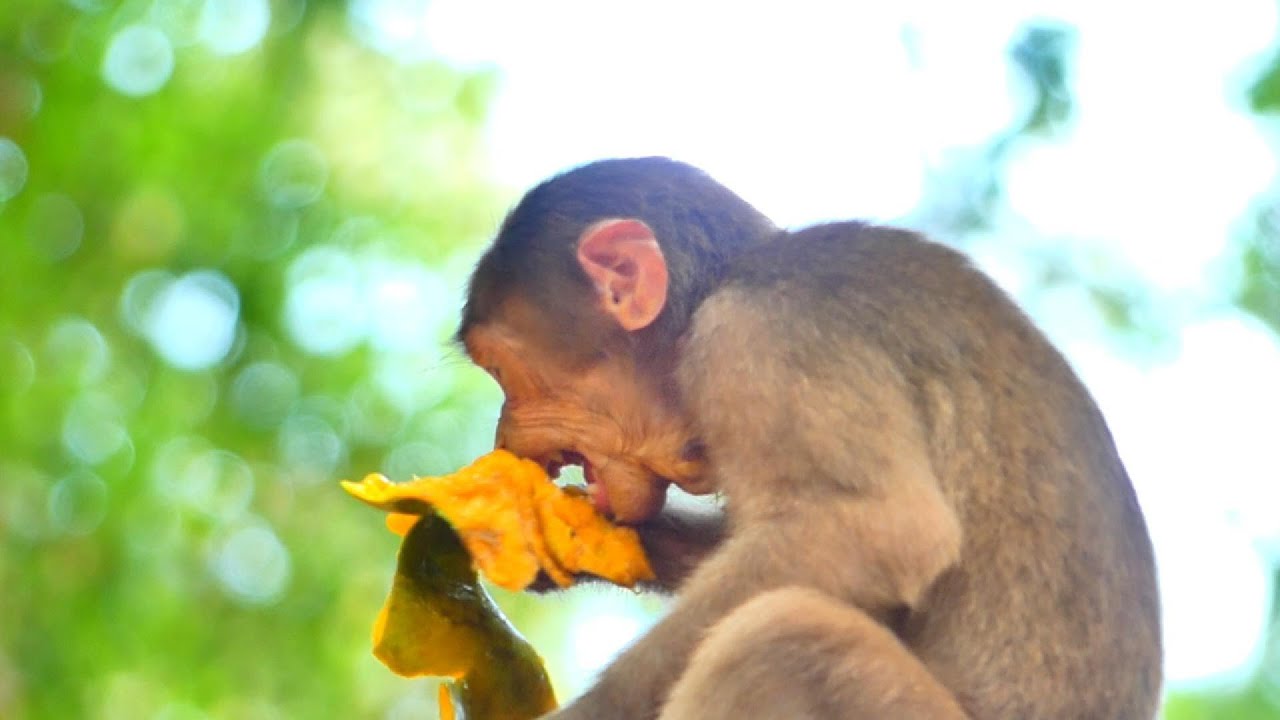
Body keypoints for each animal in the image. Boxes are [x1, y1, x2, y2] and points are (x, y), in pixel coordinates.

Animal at [455, 157, 1162, 719]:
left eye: (499, 369)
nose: (507, 435)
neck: (721, 287)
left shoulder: (757, 338)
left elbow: (880, 529)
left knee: (783, 638)